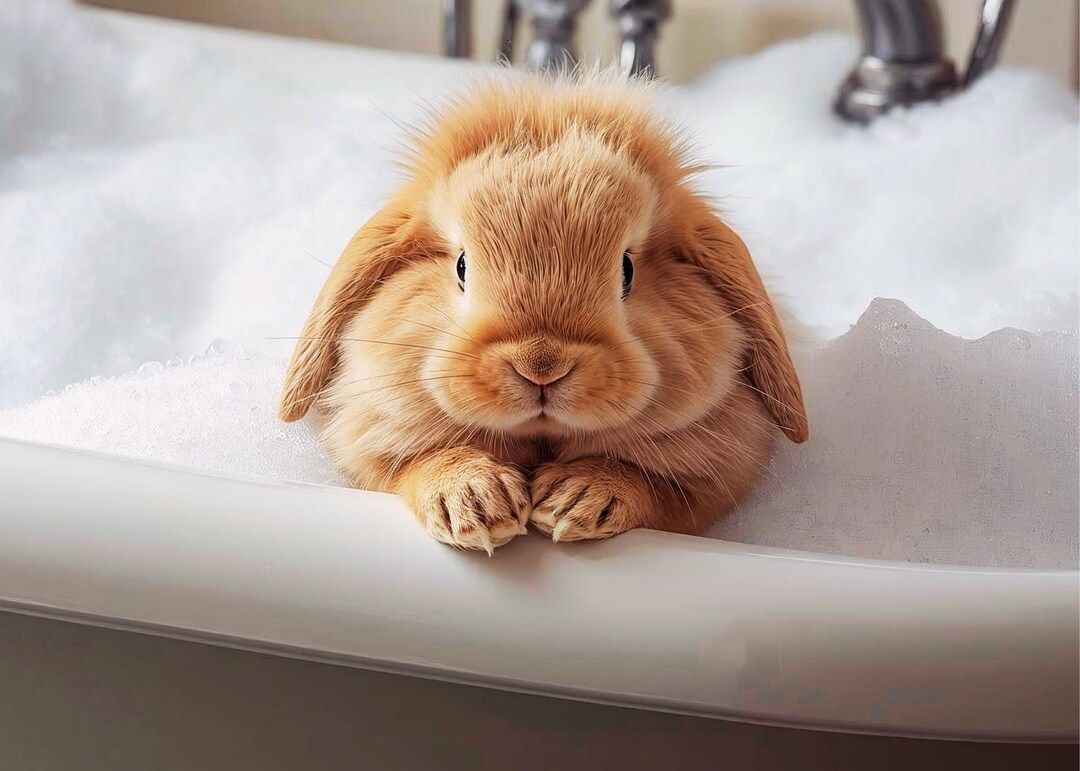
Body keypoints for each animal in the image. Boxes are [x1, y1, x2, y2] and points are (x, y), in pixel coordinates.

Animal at [278, 72, 807, 554]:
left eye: (627, 269)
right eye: (462, 265)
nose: (541, 366)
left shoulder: (715, 478)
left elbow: (651, 485)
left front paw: (578, 501)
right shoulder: (369, 443)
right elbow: (420, 463)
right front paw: (476, 504)